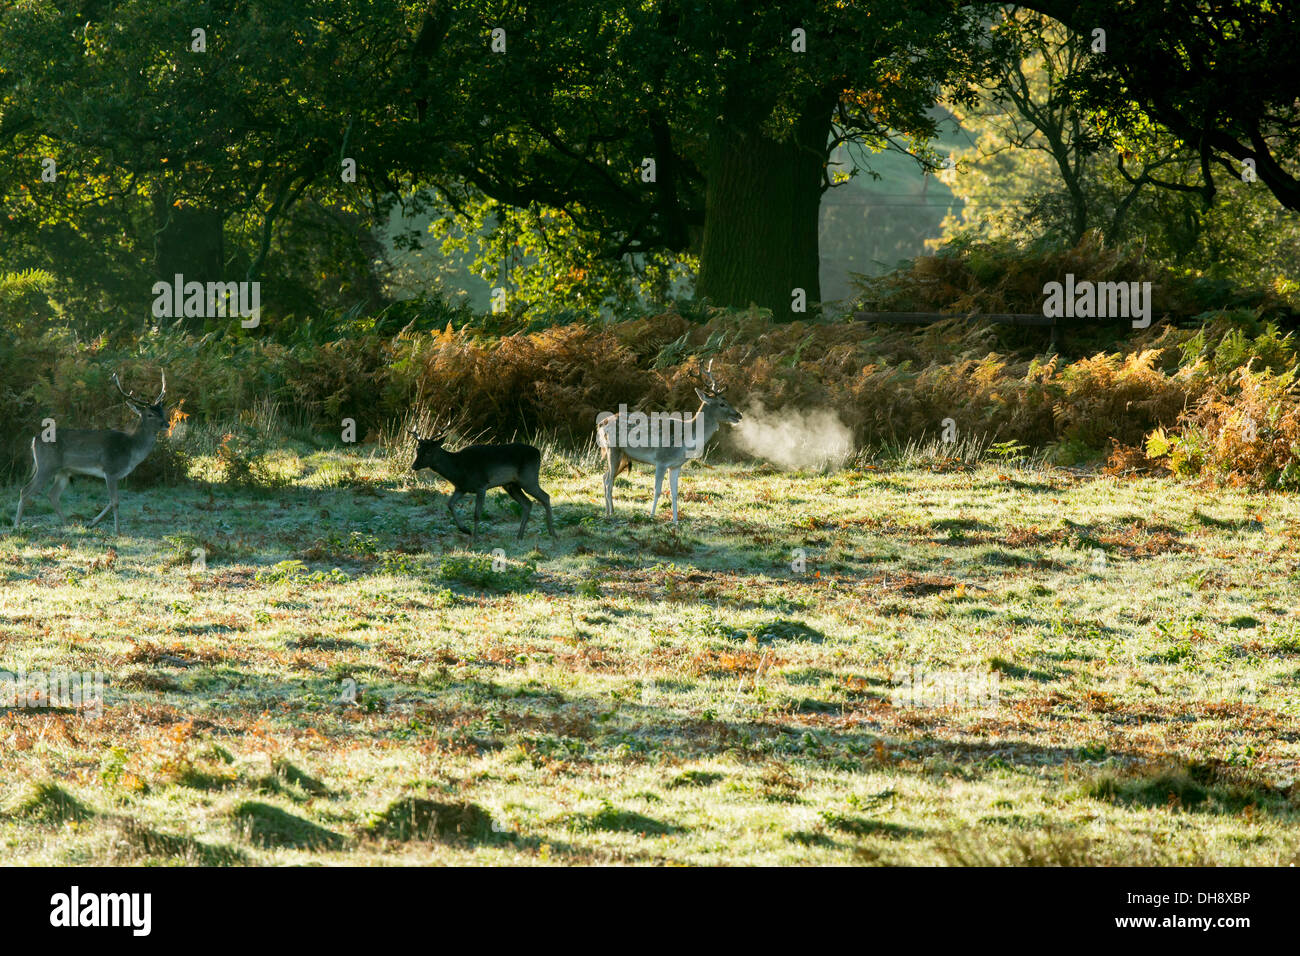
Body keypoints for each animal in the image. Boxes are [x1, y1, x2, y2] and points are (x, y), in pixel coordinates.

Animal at [13, 371, 169, 536]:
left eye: (162, 411)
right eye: (150, 414)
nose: (167, 424)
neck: (131, 449)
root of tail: (34, 439)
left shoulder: (114, 475)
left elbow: (110, 501)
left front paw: (91, 523)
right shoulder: (110, 469)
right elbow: (115, 502)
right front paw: (118, 531)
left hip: (63, 471)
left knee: (52, 495)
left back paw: (67, 524)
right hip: (46, 465)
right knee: (25, 490)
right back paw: (16, 525)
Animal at [409, 430, 557, 541]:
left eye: (429, 451)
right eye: (417, 449)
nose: (414, 466)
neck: (458, 469)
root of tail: (538, 452)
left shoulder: (481, 485)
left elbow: (477, 513)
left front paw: (475, 538)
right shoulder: (461, 488)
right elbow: (450, 504)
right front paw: (465, 530)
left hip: (528, 479)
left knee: (545, 496)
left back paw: (552, 533)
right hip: (511, 485)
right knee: (527, 503)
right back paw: (519, 536)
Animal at [596, 359, 742, 524]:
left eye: (727, 400)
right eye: (722, 404)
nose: (739, 414)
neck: (685, 440)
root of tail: (600, 424)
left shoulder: (676, 465)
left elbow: (675, 492)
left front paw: (675, 521)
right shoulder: (661, 460)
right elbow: (657, 490)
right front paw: (651, 516)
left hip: (622, 456)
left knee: (604, 476)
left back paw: (610, 510)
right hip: (612, 449)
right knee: (608, 481)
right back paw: (610, 514)